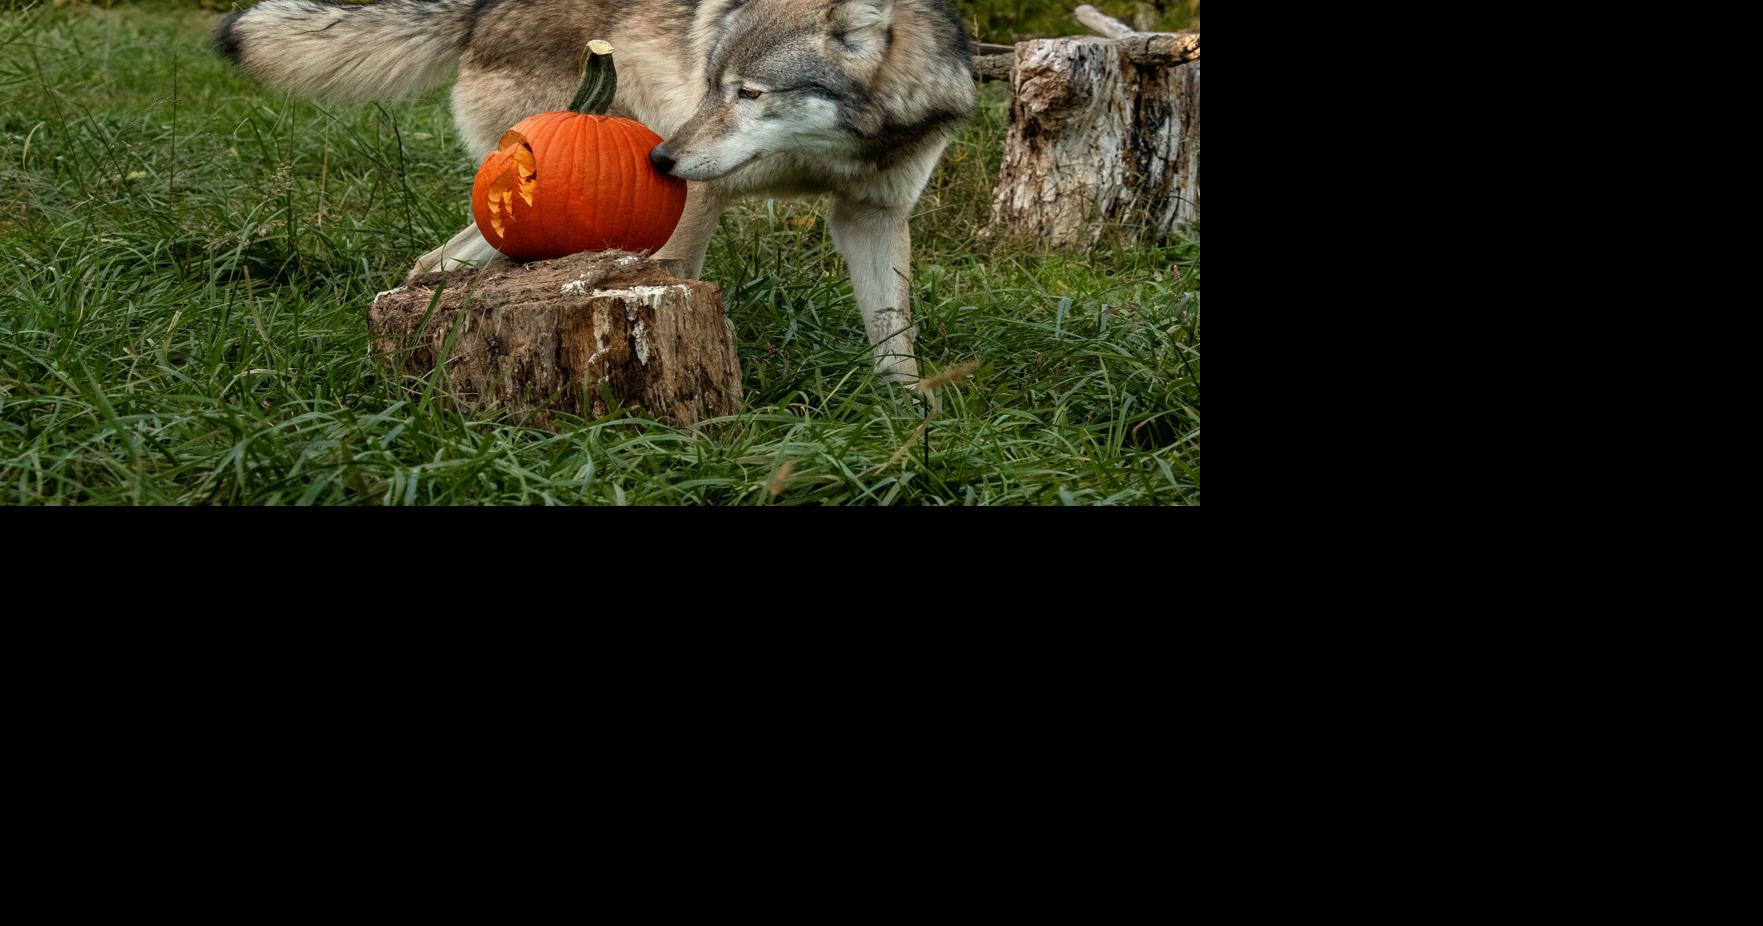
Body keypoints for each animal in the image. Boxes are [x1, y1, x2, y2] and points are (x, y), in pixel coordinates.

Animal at [214, 0, 976, 381]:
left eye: (749, 94)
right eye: (711, 87)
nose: (661, 159)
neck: (846, 144)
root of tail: (481, 10)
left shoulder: (872, 218)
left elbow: (895, 337)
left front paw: (907, 422)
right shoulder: (695, 202)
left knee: (434, 264)